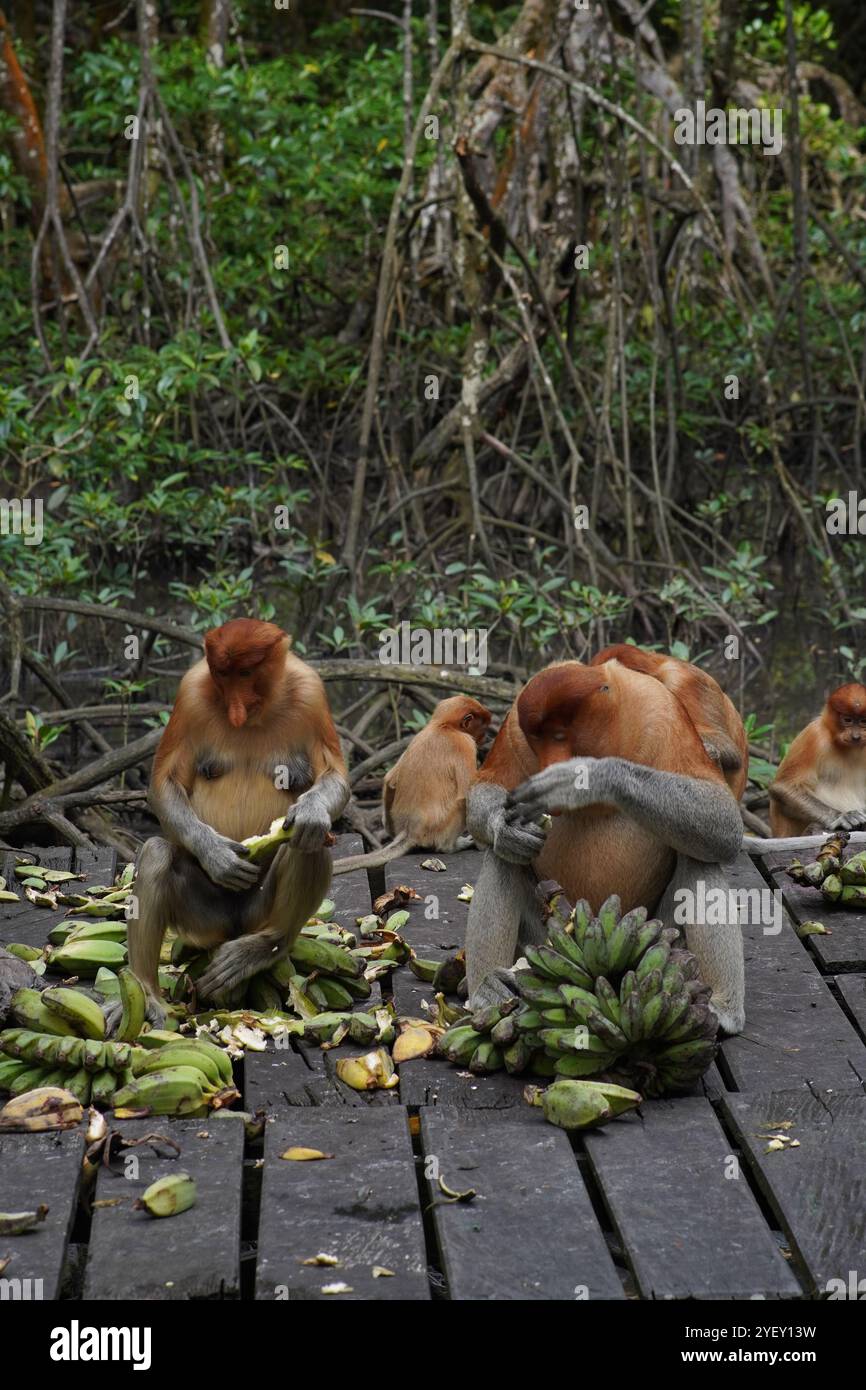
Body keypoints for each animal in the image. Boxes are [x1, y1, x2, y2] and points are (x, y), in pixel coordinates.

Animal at [110, 619, 349, 1028]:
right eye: (222, 674)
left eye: (247, 673)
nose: (236, 709)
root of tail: (232, 927)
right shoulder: (190, 692)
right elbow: (163, 783)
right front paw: (217, 856)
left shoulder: (311, 691)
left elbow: (335, 777)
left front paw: (311, 812)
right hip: (204, 923)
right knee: (157, 853)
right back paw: (145, 991)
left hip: (258, 913)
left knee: (308, 843)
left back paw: (264, 947)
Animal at [331, 695, 492, 874]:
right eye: (483, 726)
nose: (486, 738)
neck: (443, 726)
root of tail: (411, 832)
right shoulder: (465, 743)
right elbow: (467, 795)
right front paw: (482, 845)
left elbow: (390, 779)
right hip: (440, 829)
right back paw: (451, 846)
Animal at [464, 659, 745, 1035]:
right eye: (537, 738)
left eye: (559, 736)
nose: (550, 763)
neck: (614, 721)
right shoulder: (513, 726)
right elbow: (488, 786)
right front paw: (506, 828)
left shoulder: (665, 712)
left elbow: (722, 816)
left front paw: (583, 777)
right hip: (543, 933)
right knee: (504, 858)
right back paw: (489, 989)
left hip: (662, 932)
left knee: (700, 857)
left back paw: (724, 1009)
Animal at [768, 683, 866, 837]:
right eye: (847, 720)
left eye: (863, 721)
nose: (856, 737)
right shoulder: (814, 735)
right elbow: (783, 787)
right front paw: (843, 817)